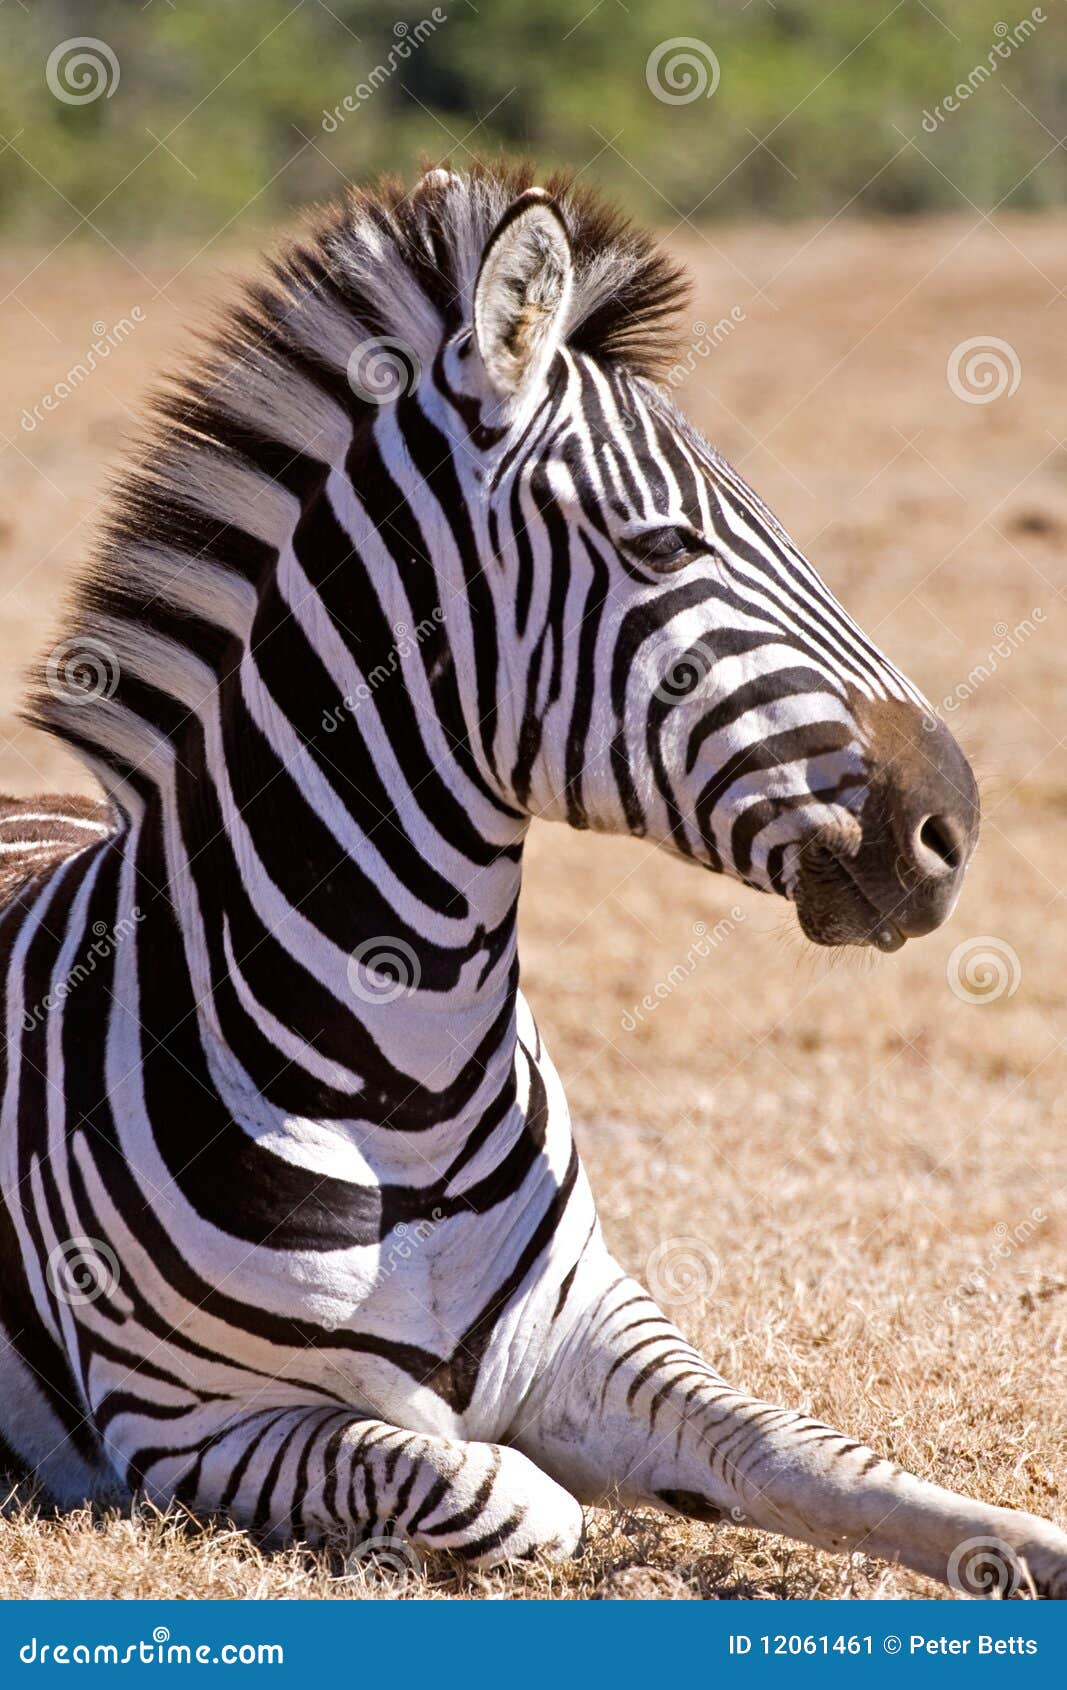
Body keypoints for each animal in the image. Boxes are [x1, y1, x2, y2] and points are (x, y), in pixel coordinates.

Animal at [1, 161, 1064, 1597]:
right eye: (663, 547)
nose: (950, 823)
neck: (404, 1086)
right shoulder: (185, 1425)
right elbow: (512, 1494)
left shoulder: (589, 1335)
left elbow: (809, 1454)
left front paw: (1017, 1539)